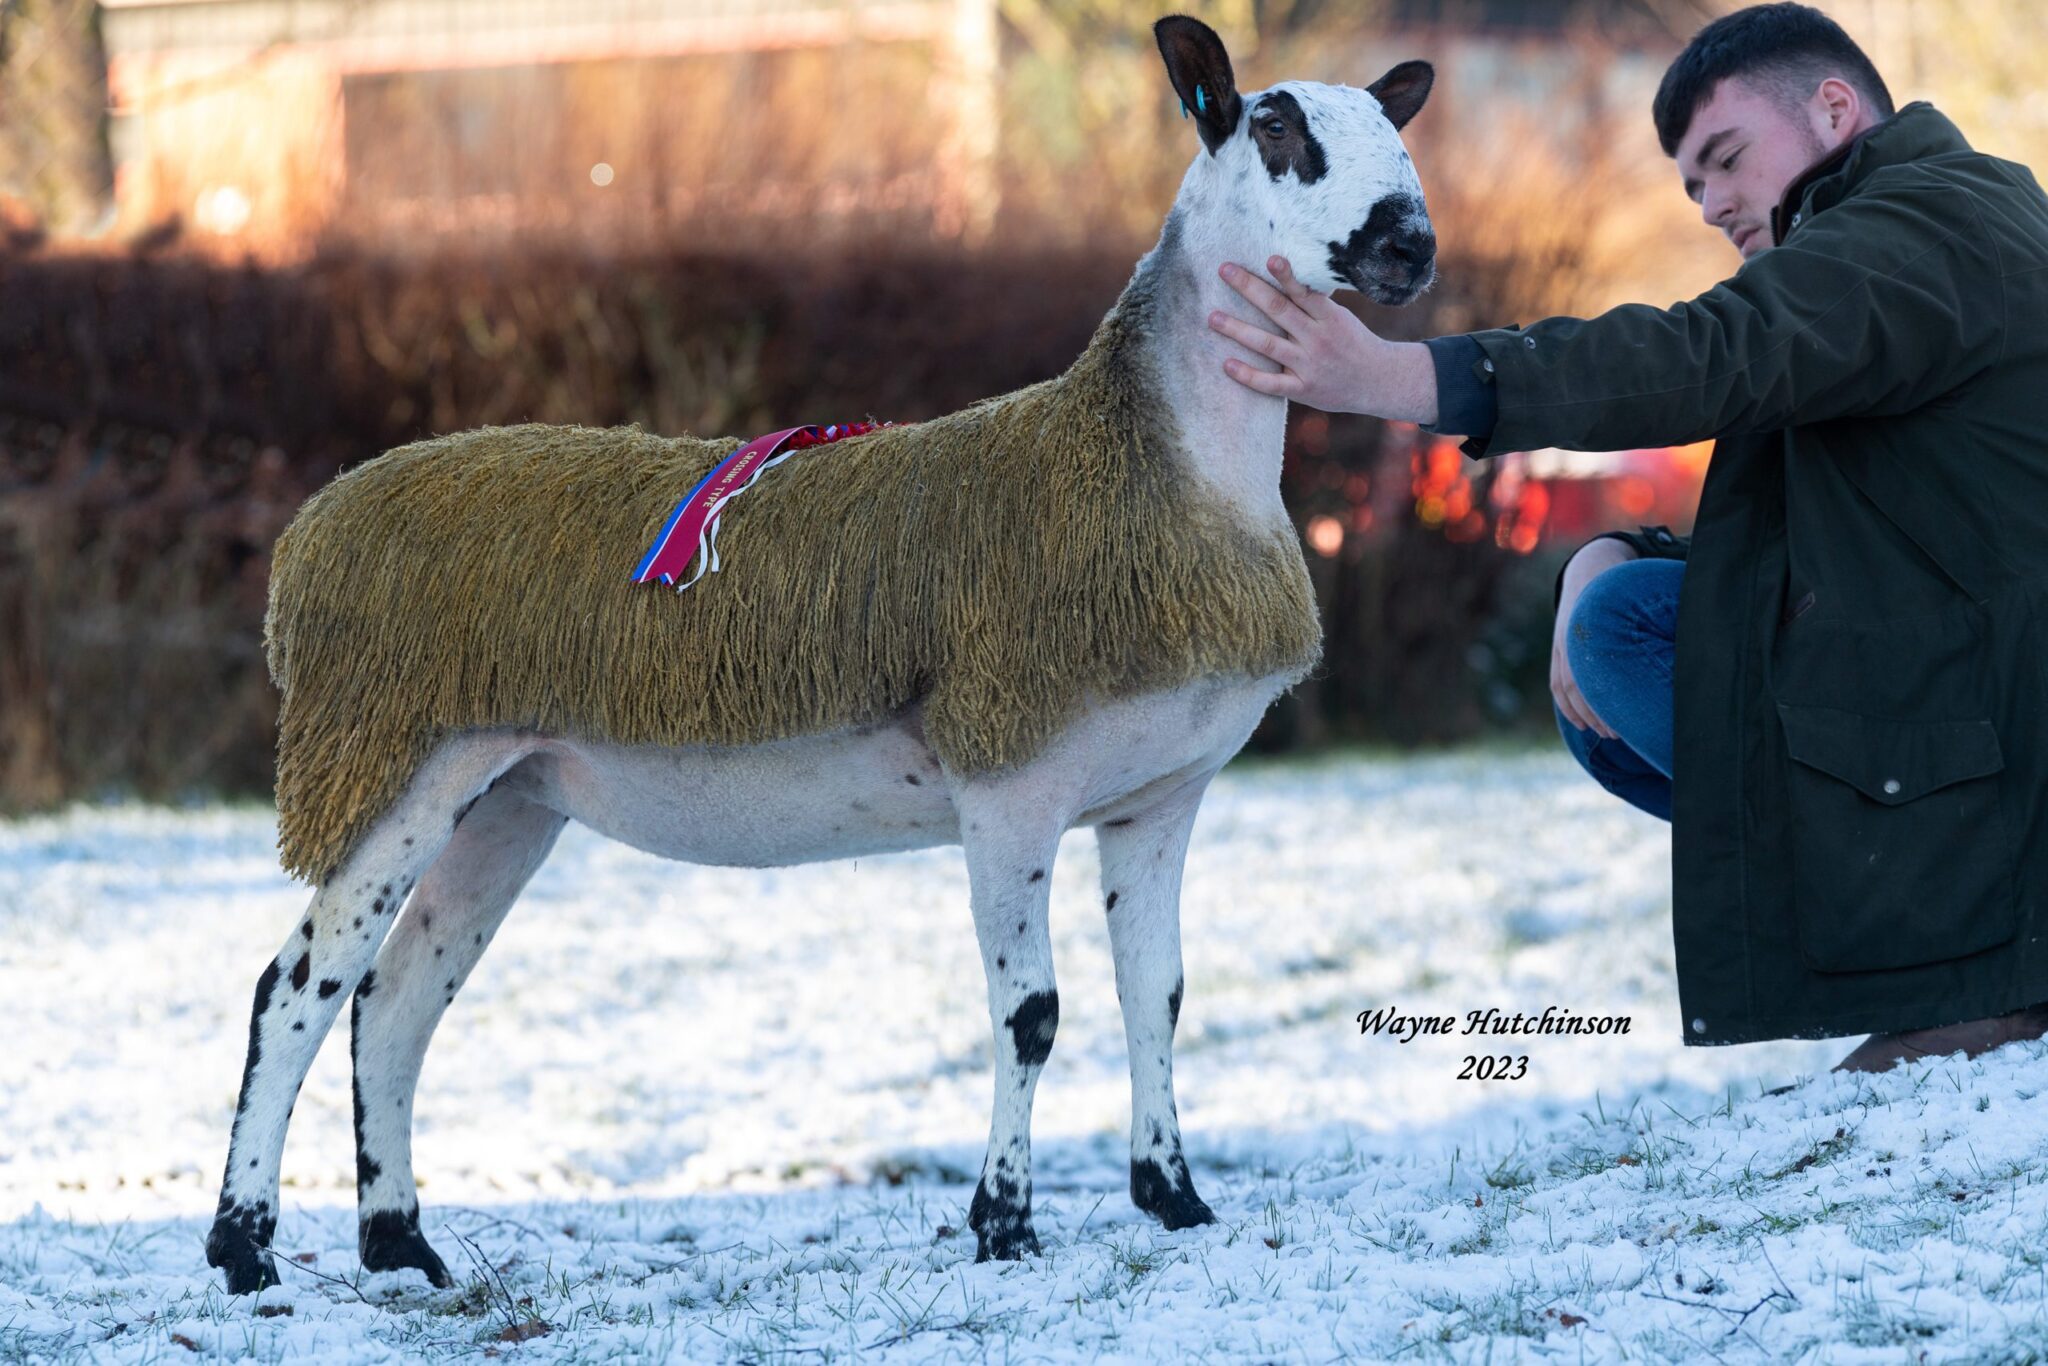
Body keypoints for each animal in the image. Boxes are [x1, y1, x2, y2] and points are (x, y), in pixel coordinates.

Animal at [206, 14, 1438, 1294]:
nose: (1409, 243)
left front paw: (1174, 1199)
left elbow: (1156, 997)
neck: (1161, 468)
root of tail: (309, 535)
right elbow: (1033, 1013)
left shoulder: (1158, 796)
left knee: (396, 997)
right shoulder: (1007, 777)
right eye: (1276, 127)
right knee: (294, 990)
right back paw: (244, 1252)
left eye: (1393, 125)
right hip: (392, 755)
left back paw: (401, 1245)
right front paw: (1003, 1225)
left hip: (506, 796)